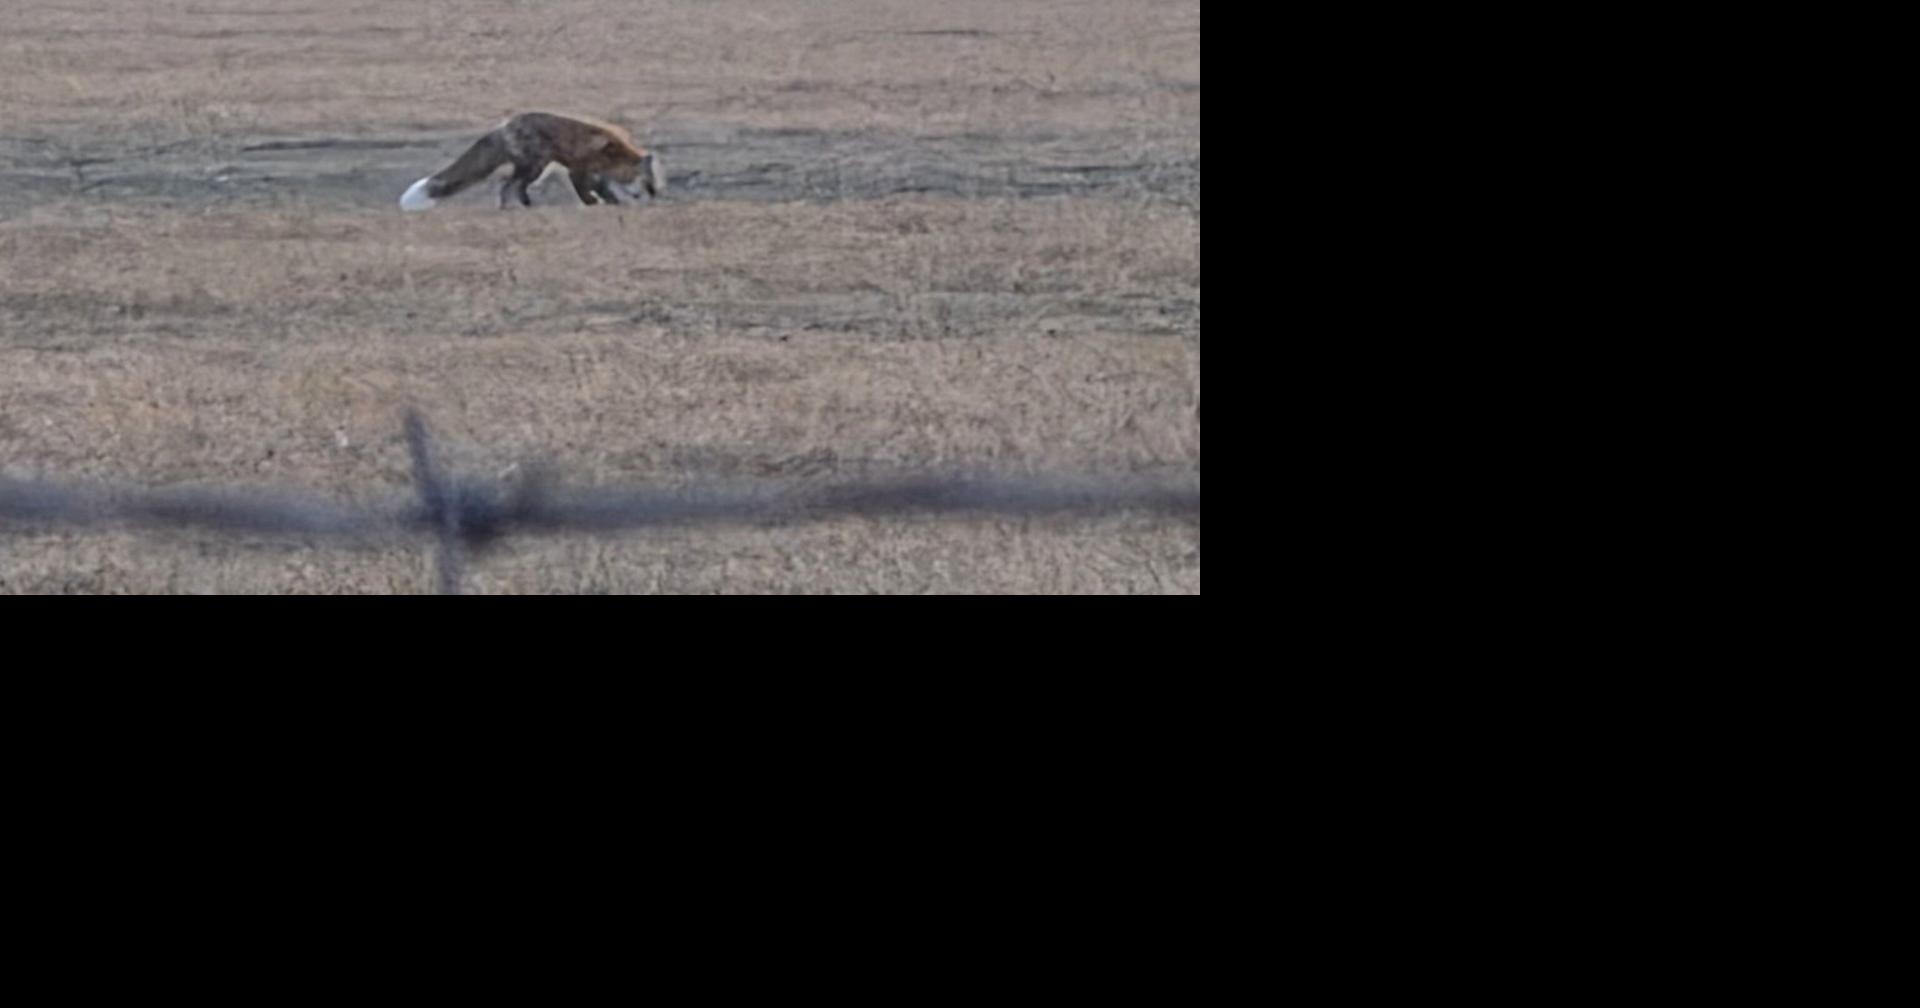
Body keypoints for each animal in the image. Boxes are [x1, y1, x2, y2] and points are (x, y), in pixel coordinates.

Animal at [399, 111, 663, 211]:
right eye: (647, 182)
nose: (653, 196)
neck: (614, 155)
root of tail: (505, 126)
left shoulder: (597, 174)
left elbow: (604, 190)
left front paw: (610, 202)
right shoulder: (578, 169)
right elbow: (585, 190)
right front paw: (592, 203)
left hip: (535, 169)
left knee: (513, 185)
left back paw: (525, 204)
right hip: (535, 166)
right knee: (507, 185)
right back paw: (511, 206)